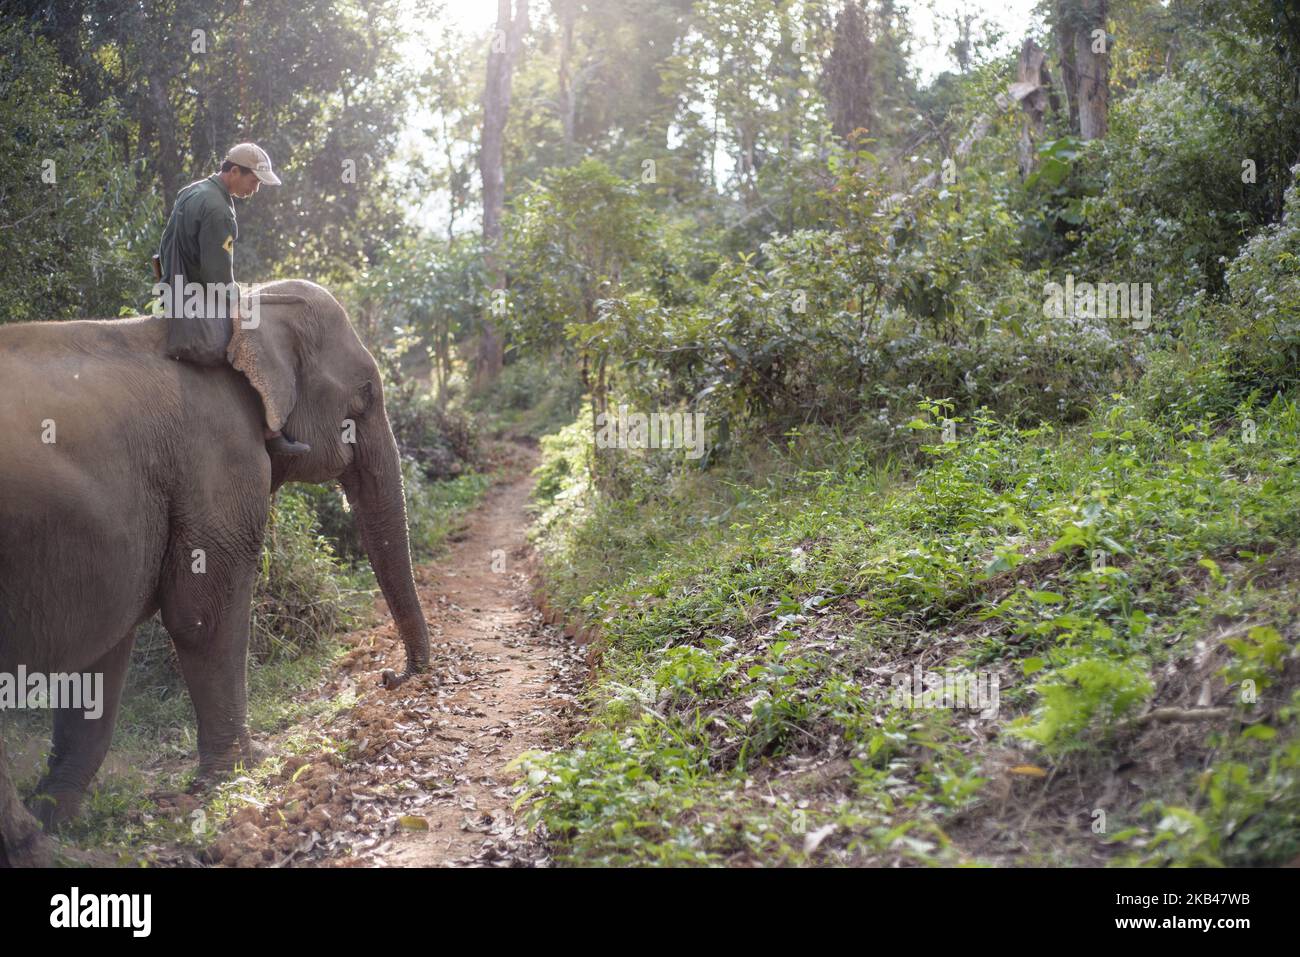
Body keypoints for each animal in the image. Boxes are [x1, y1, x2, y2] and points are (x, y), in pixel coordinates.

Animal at [0, 279, 430, 858]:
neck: (240, 310)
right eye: (364, 395)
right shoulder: (219, 454)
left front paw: (59, 813)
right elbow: (200, 613)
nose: (391, 677)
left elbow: (103, 651)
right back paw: (36, 847)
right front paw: (245, 771)